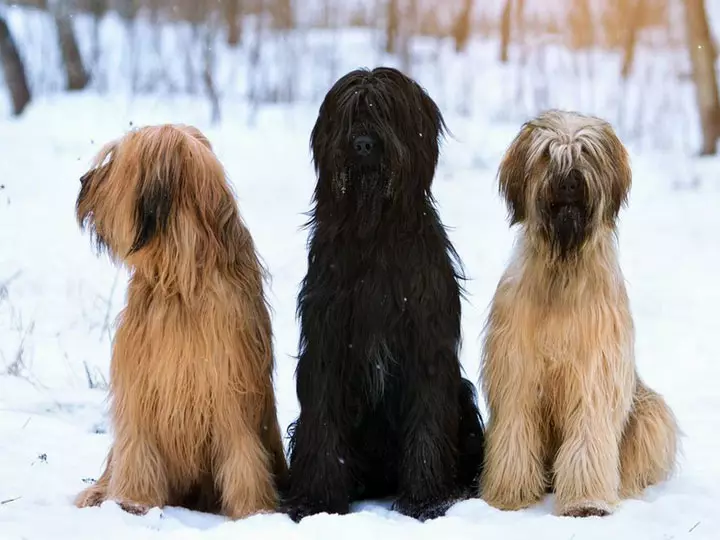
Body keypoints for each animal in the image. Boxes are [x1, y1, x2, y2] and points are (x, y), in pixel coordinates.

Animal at [73, 123, 286, 520]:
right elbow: (137, 445)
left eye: (117, 162)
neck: (181, 279)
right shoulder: (139, 385)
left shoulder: (230, 384)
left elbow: (242, 451)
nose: (83, 180)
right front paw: (133, 500)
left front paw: (253, 511)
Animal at [282, 67, 484, 524]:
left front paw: (426, 500)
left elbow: (427, 415)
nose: (362, 144)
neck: (374, 235)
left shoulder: (426, 342)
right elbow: (323, 419)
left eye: (386, 111)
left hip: (462, 395)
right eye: (349, 113)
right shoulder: (327, 341)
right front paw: (317, 502)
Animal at [480, 110, 676, 520]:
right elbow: (514, 434)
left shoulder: (594, 373)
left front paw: (586, 502)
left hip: (651, 412)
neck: (563, 271)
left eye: (585, 152)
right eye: (547, 155)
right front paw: (510, 496)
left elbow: (588, 434)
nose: (569, 181)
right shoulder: (517, 375)